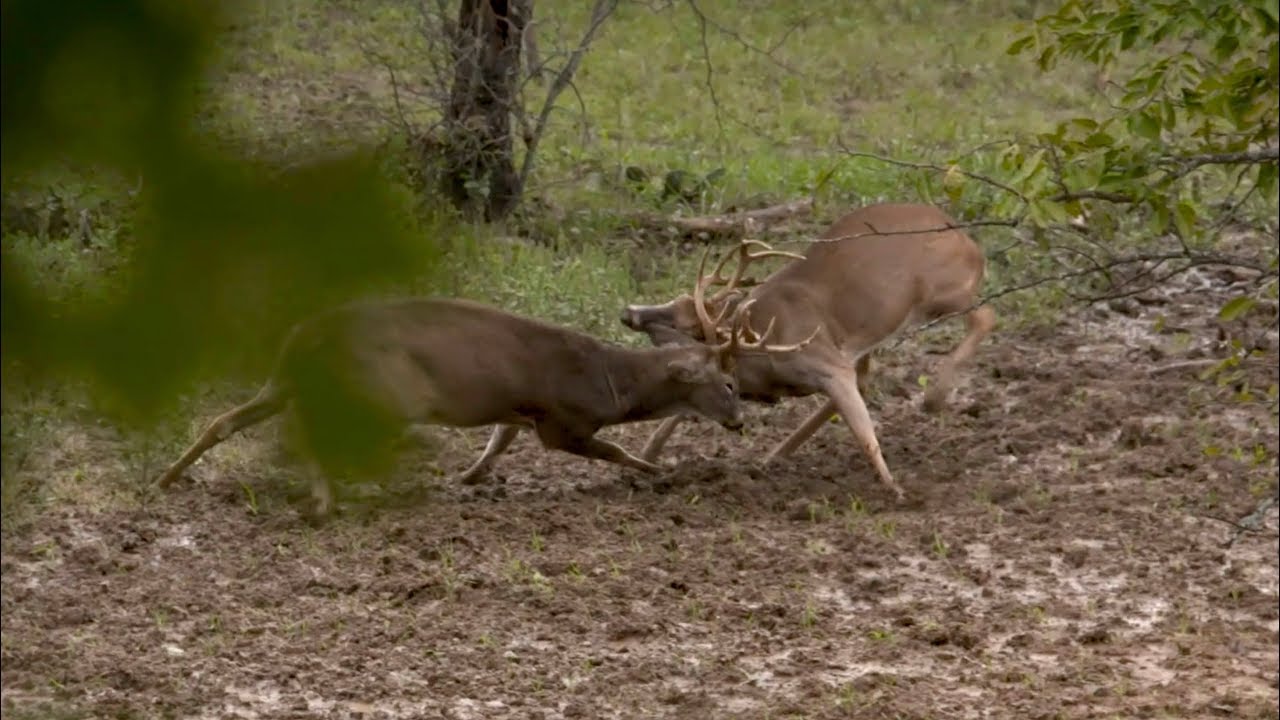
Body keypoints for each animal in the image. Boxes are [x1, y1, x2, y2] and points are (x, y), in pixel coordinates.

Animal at [155, 296, 816, 515]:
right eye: (727, 385)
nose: (740, 421)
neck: (613, 382)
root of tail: (302, 336)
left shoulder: (520, 409)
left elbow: (499, 438)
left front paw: (470, 477)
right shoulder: (563, 421)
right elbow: (616, 450)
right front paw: (663, 471)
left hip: (289, 382)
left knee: (224, 420)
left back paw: (167, 479)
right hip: (384, 388)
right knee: (308, 429)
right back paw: (324, 501)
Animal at [620, 202, 996, 501]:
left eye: (678, 314)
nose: (629, 314)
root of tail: (970, 243)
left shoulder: (825, 361)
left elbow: (864, 432)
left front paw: (896, 490)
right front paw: (647, 455)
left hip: (940, 293)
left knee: (985, 316)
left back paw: (934, 398)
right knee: (868, 377)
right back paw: (774, 455)